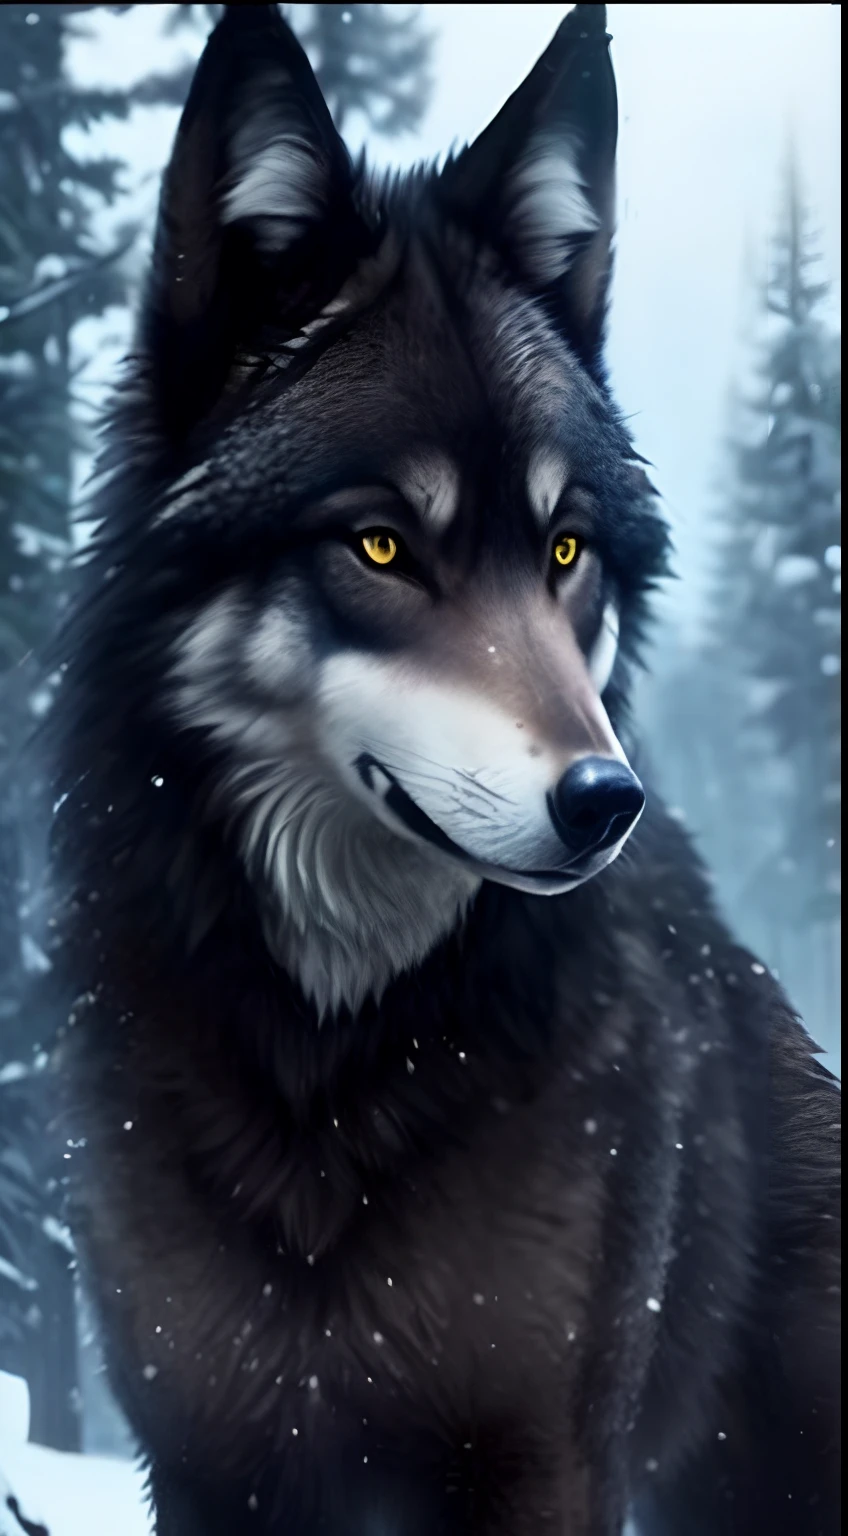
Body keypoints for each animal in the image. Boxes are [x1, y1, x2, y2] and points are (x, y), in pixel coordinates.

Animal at [47, 5, 839, 1533]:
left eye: (565, 548)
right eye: (381, 546)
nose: (604, 803)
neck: (329, 1053)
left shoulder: (537, 1457)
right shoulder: (210, 1459)